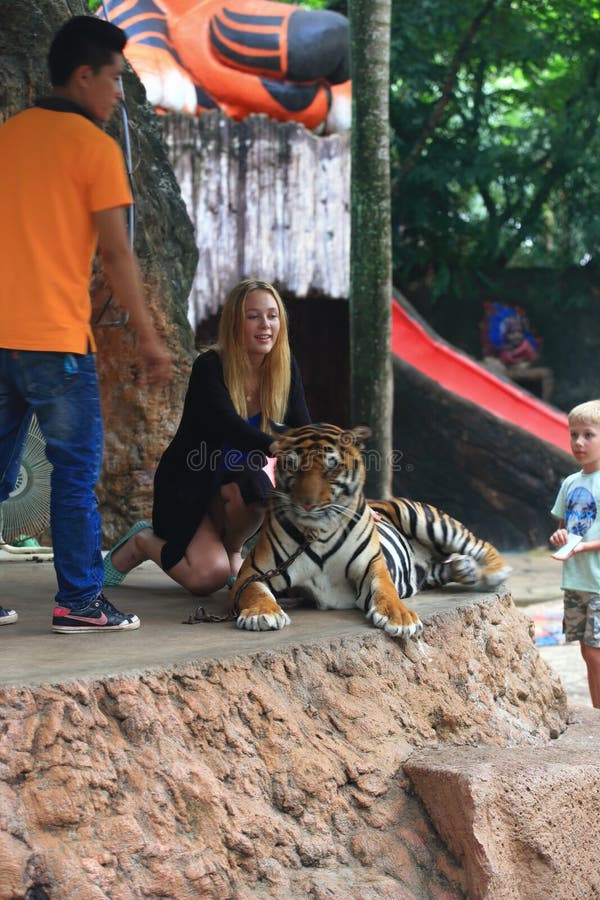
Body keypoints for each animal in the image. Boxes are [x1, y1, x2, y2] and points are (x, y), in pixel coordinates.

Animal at [229, 423, 512, 638]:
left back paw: (493, 572)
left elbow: (386, 591)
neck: (318, 533)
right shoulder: (253, 573)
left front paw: (400, 619)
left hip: (426, 519)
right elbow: (255, 593)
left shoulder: (371, 567)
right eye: (293, 465)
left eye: (331, 467)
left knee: (477, 543)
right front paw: (262, 614)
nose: (307, 504)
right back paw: (465, 569)